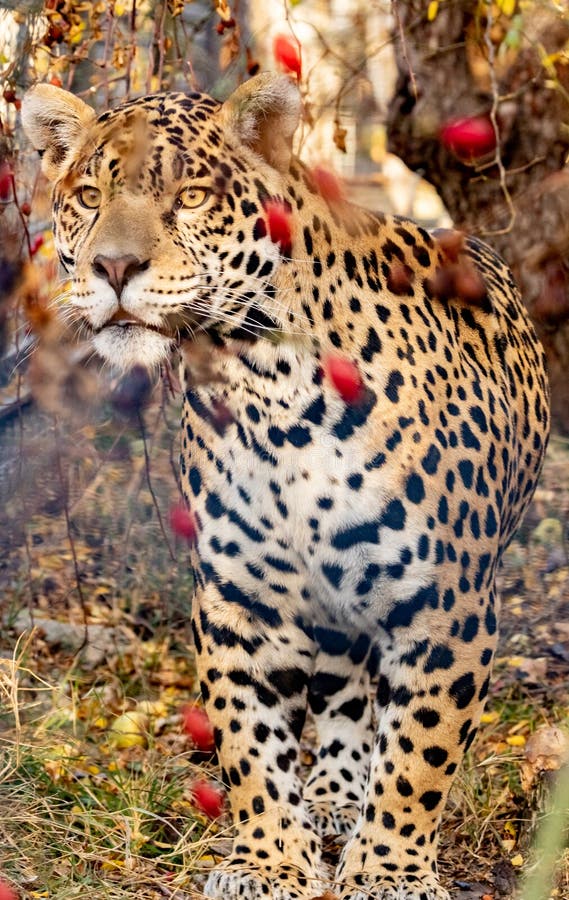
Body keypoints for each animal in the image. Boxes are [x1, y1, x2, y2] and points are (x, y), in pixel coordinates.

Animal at [22, 72, 549, 900]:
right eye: (87, 195)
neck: (265, 389)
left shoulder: (445, 604)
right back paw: (331, 798)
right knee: (342, 693)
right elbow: (249, 741)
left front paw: (388, 870)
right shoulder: (242, 597)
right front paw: (269, 860)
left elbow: (419, 753)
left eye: (191, 197)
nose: (112, 269)